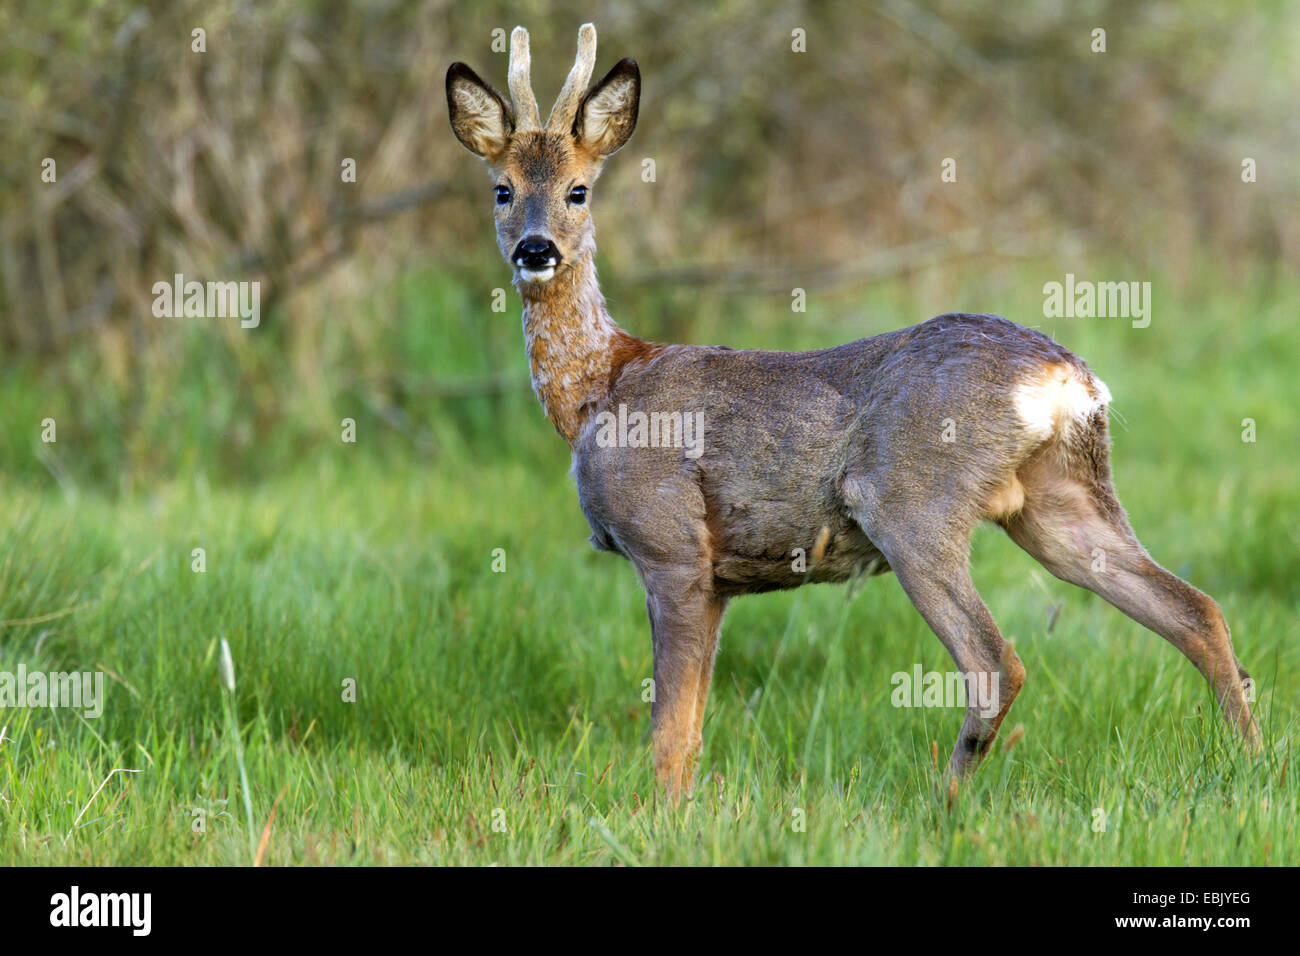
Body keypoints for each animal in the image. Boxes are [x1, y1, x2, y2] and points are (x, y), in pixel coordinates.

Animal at [446, 23, 1262, 801]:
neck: (601, 385)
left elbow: (669, 735)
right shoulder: (718, 580)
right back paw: (1252, 763)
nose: (536, 249)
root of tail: (1066, 378)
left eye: (579, 189)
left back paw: (946, 801)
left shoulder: (670, 545)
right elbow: (696, 729)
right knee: (1196, 610)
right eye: (502, 189)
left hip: (911, 502)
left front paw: (663, 820)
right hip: (1059, 498)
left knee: (996, 659)